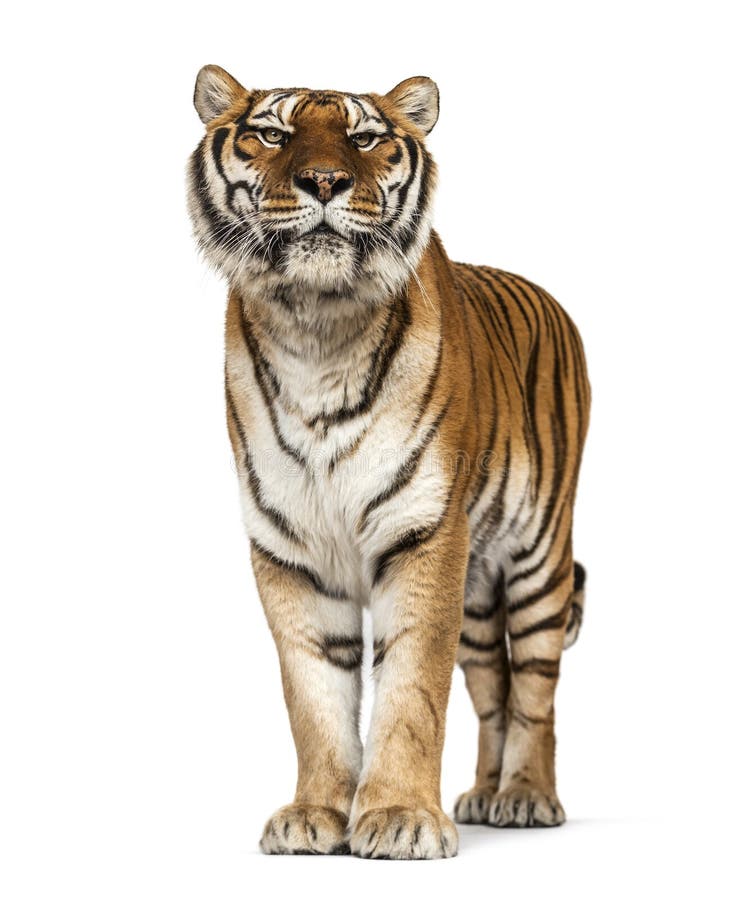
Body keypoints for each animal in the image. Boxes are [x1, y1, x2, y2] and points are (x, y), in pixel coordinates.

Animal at [187, 64, 590, 860]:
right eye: (270, 134)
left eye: (366, 138)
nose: (324, 180)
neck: (315, 330)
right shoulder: (290, 549)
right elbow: (313, 696)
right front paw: (314, 815)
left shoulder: (424, 533)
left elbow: (411, 688)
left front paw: (401, 818)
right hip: (478, 593)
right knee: (493, 687)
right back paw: (482, 798)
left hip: (538, 560)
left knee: (534, 688)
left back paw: (527, 797)